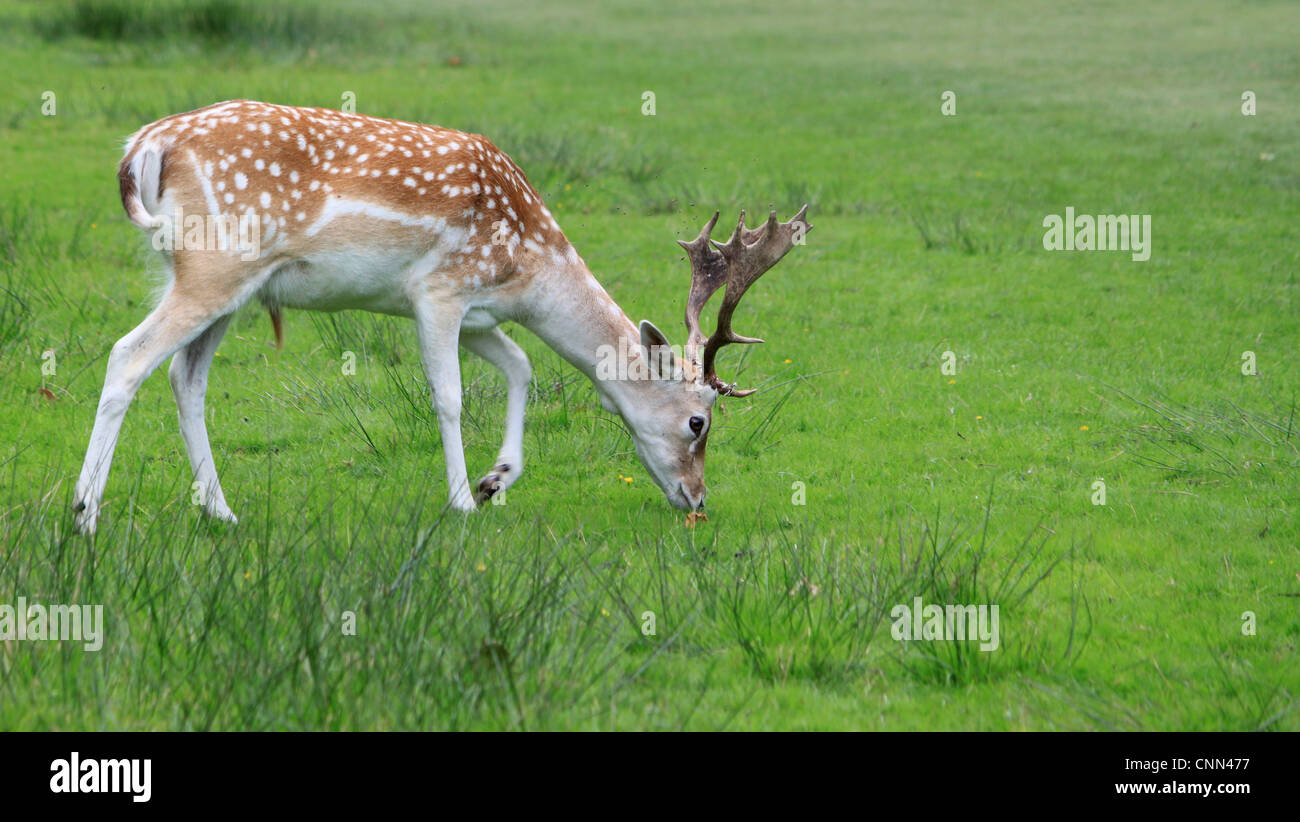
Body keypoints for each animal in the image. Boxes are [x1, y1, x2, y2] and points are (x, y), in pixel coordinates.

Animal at [72, 100, 811, 534]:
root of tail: (141, 149)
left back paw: (222, 510)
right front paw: (461, 498)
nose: (698, 498)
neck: (528, 270)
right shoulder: (439, 291)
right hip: (214, 264)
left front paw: (495, 480)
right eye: (698, 422)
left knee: (184, 377)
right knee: (128, 356)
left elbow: (521, 367)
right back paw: (84, 513)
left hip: (232, 286)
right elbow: (449, 395)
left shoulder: (481, 313)